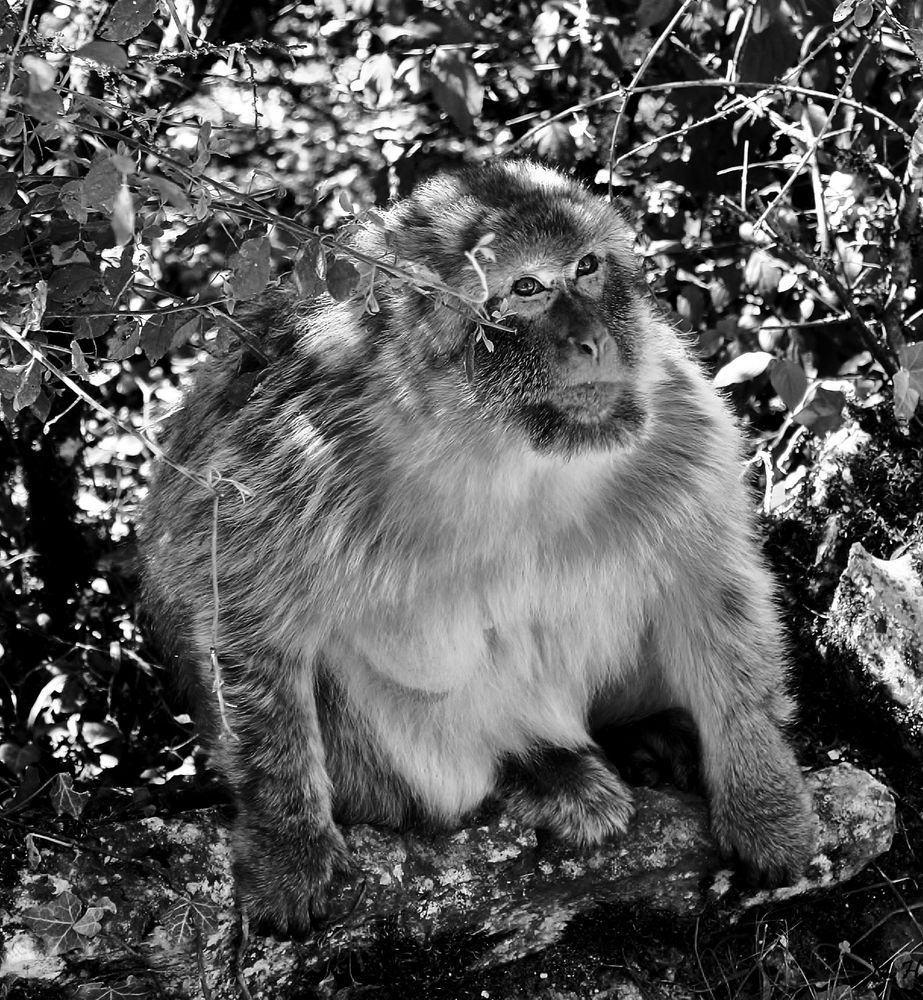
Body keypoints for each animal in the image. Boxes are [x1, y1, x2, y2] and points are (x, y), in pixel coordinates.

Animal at [140, 160, 816, 939]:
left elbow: (714, 591)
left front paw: (764, 798)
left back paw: (640, 735)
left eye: (587, 268)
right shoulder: (295, 454)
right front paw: (285, 843)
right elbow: (236, 605)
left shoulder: (675, 416)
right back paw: (538, 772)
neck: (494, 444)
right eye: (526, 288)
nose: (595, 341)